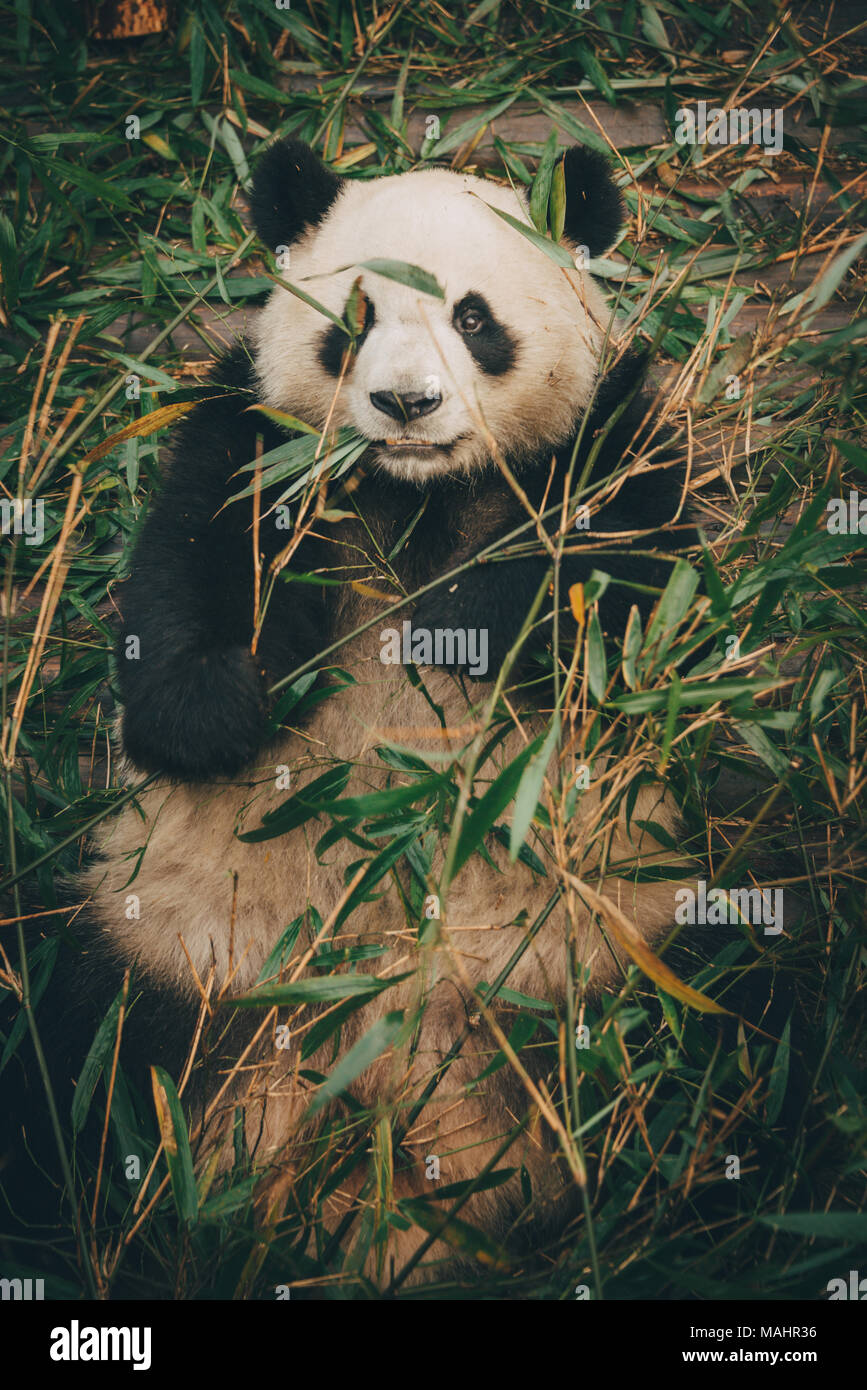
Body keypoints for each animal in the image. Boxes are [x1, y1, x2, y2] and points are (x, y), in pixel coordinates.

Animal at [6, 140, 699, 1289]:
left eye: (474, 317)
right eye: (359, 316)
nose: (406, 404)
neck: (415, 494)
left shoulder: (614, 466)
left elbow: (607, 601)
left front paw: (466, 618)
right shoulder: (260, 448)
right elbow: (184, 581)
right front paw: (223, 705)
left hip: (613, 962)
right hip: (171, 952)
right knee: (80, 1068)